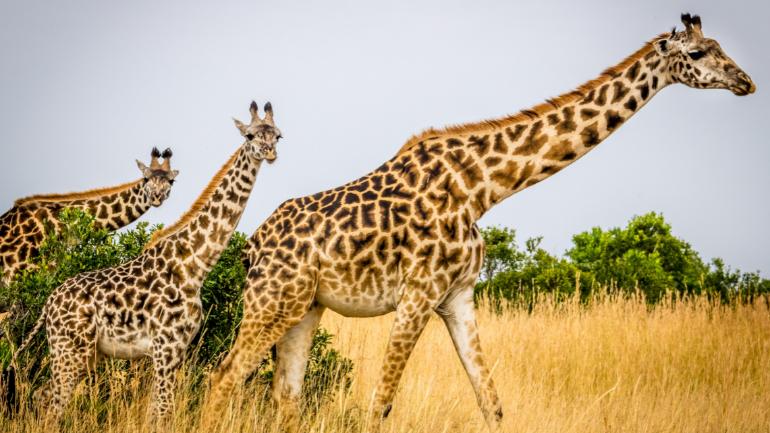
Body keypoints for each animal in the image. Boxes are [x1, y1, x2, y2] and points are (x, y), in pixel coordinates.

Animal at [203, 14, 754, 430]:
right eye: (698, 54)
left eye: (720, 46)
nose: (745, 81)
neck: (483, 189)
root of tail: (250, 246)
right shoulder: (417, 295)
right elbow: (380, 404)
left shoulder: (458, 297)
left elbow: (491, 402)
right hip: (271, 302)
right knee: (223, 376)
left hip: (305, 307)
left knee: (286, 393)